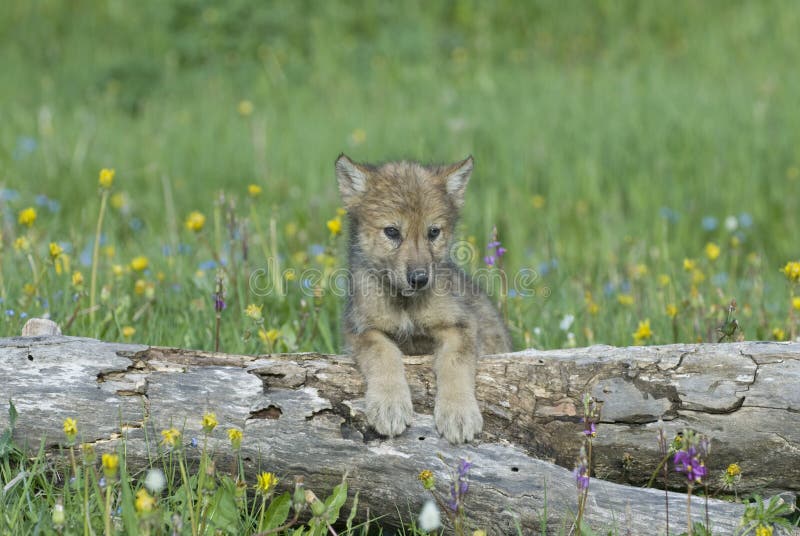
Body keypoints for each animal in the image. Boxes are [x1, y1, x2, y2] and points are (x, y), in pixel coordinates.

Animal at [335, 154, 512, 443]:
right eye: (392, 232)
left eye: (433, 232)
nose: (419, 278)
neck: (406, 307)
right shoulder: (362, 329)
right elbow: (383, 352)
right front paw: (389, 405)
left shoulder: (460, 324)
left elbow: (454, 362)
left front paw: (458, 413)